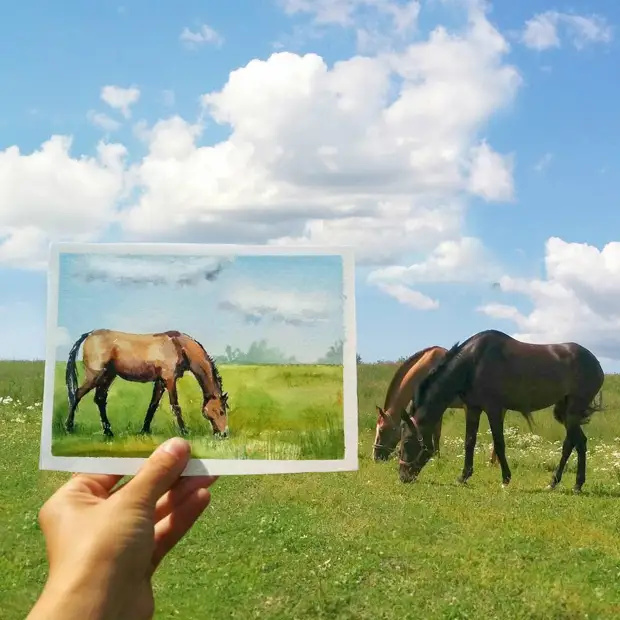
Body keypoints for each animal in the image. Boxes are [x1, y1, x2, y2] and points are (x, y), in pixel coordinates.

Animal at [64, 330, 229, 436]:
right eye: (221, 411)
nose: (224, 433)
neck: (178, 345)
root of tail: (89, 334)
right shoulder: (169, 379)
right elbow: (175, 406)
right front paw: (184, 431)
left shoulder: (160, 382)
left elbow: (153, 405)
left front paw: (144, 430)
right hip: (95, 375)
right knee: (77, 395)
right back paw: (69, 427)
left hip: (107, 376)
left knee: (99, 399)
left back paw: (108, 431)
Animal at [400, 330, 604, 494]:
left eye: (407, 442)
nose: (403, 476)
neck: (472, 363)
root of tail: (596, 364)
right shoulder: (473, 409)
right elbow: (469, 442)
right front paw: (463, 476)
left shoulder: (494, 409)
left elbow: (499, 443)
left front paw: (506, 478)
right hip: (564, 410)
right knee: (574, 443)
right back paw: (560, 483)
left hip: (573, 411)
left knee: (576, 444)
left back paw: (571, 484)